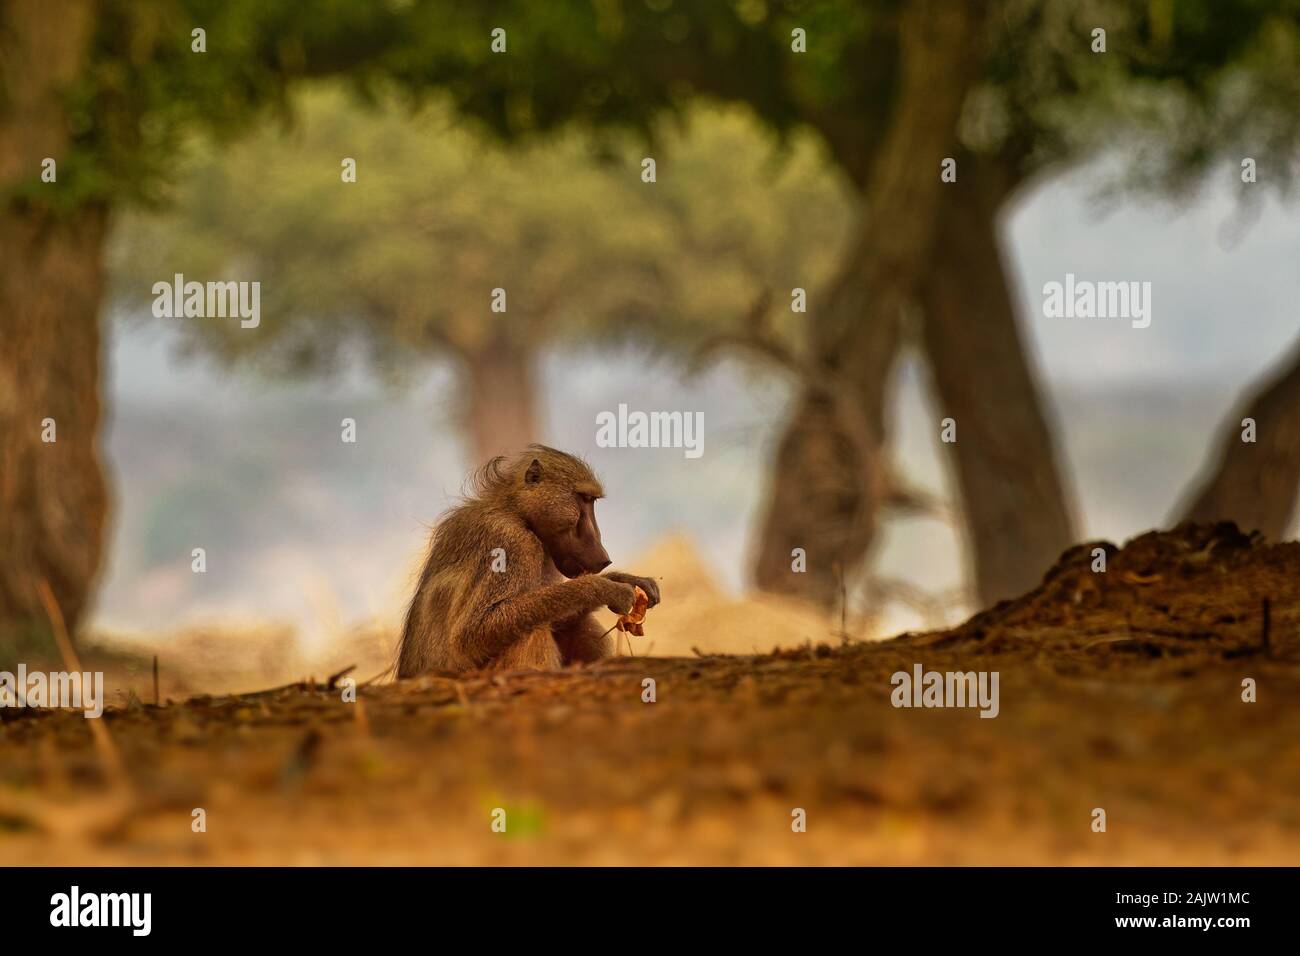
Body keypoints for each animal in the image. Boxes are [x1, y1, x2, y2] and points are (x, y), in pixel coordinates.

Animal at [396, 445, 662, 677]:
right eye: (583, 499)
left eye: (592, 501)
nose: (603, 559)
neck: (515, 511)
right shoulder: (511, 541)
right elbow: (470, 634)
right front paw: (604, 588)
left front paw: (622, 578)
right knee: (531, 630)